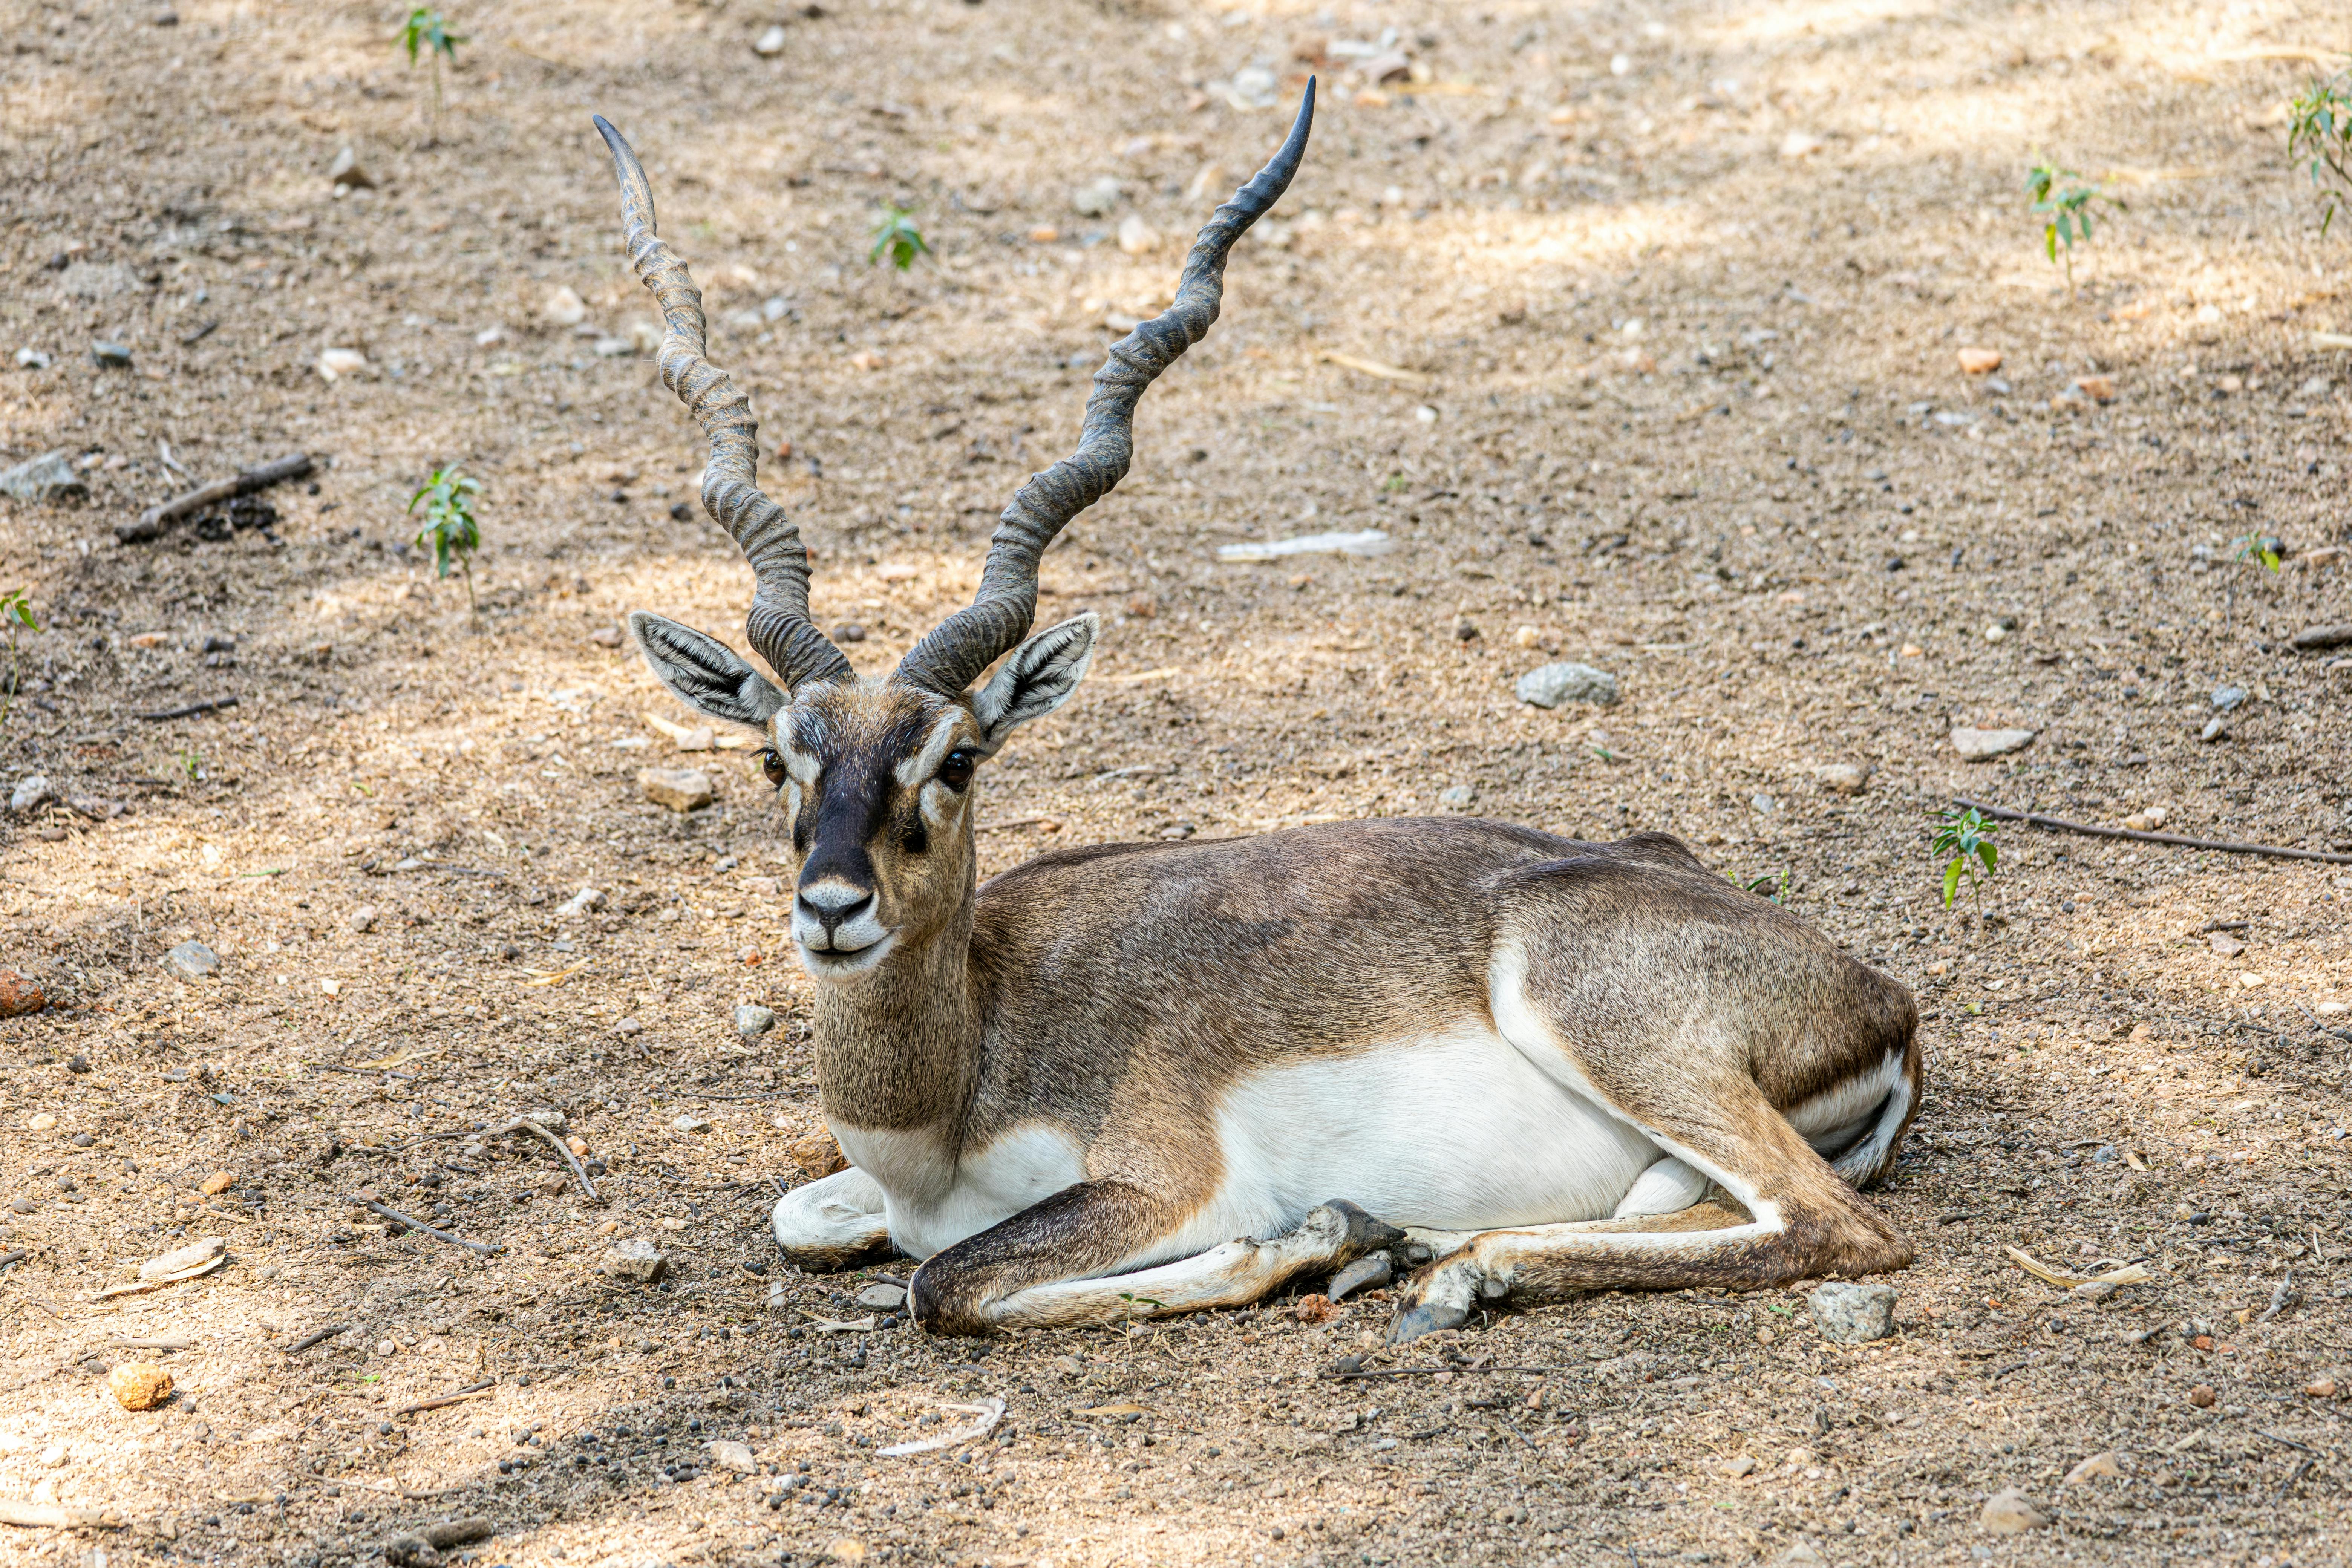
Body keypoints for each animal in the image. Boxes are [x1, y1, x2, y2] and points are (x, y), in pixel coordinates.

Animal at [592, 85, 1921, 1344]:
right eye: (779, 760)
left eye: (957, 758)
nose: (832, 908)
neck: (960, 1070)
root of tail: (1878, 998)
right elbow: (809, 1217)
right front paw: (1350, 1237)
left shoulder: (1165, 1183)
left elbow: (947, 1282)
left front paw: (1319, 1238)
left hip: (1607, 1029)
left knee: (1833, 1224)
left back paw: (1448, 1270)